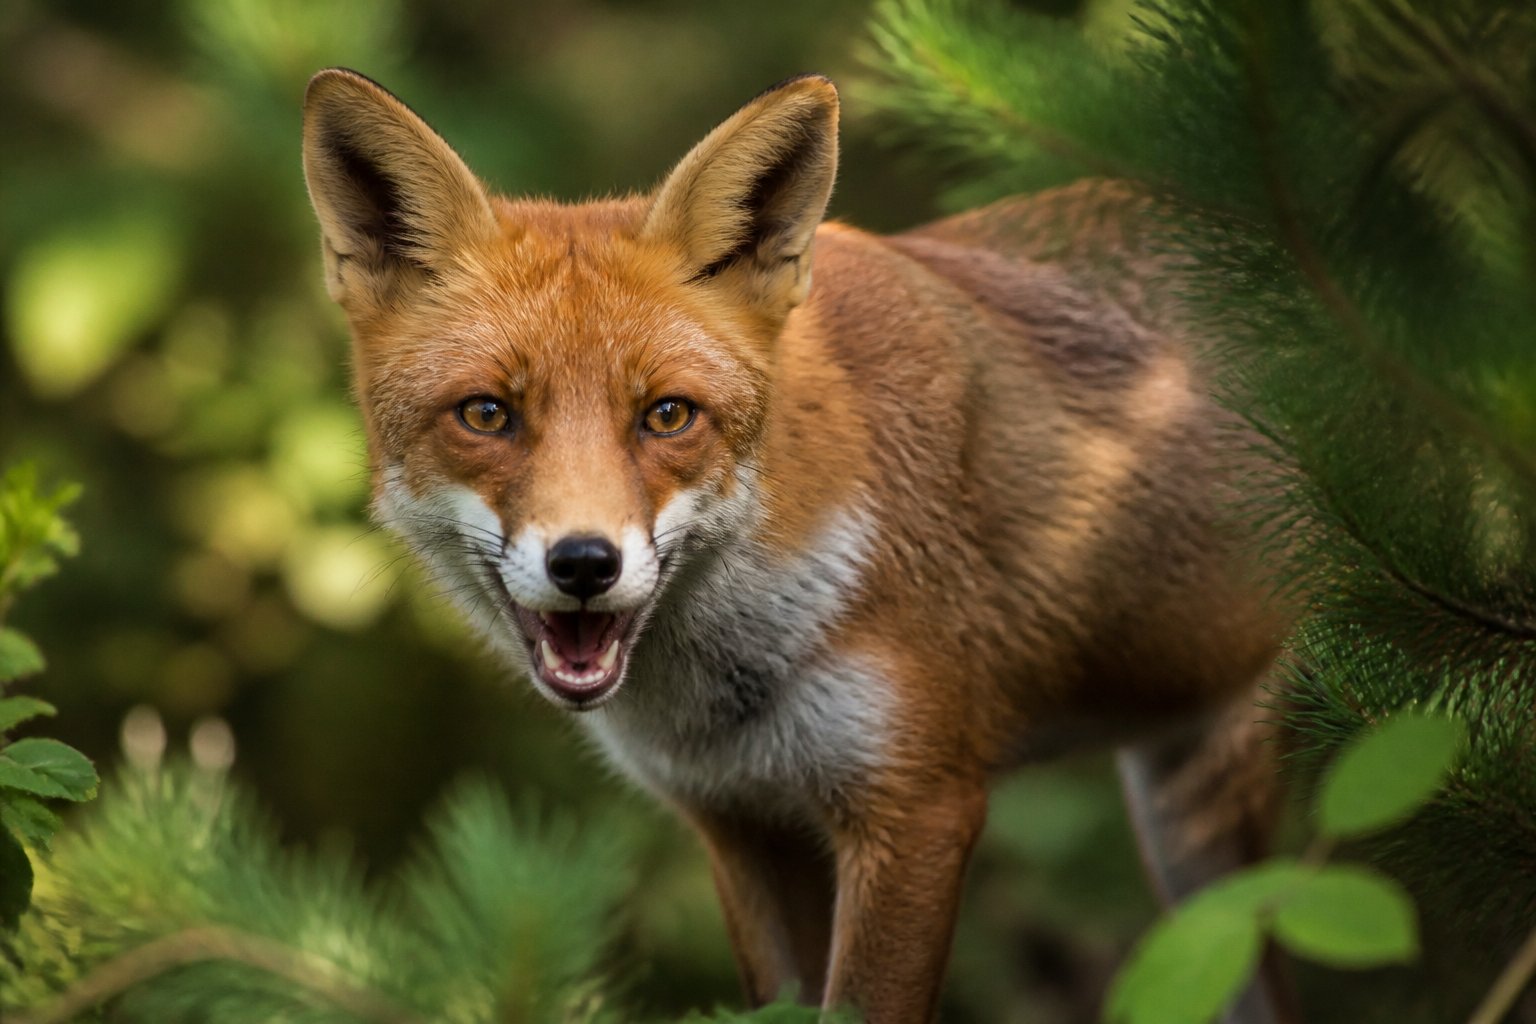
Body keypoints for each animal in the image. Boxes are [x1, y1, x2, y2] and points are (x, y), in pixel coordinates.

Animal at [302, 68, 1294, 1023]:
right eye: (487, 415)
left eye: (668, 415)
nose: (584, 563)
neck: (733, 689)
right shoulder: (745, 826)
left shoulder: (919, 805)